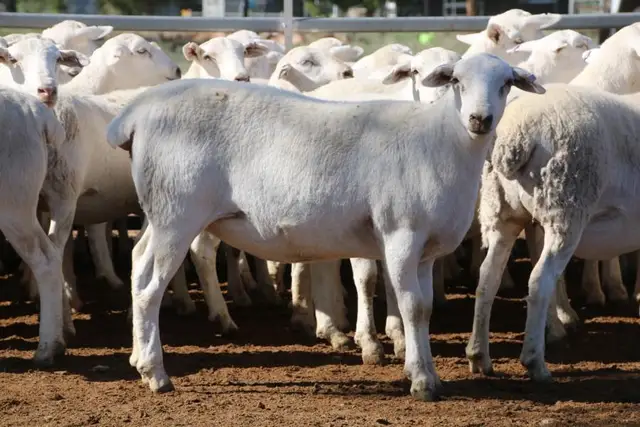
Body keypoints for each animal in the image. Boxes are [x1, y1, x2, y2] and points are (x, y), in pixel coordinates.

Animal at [106, 53, 545, 398]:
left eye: (506, 84)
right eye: (456, 81)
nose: (480, 119)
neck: (441, 142)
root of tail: (135, 114)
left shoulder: (425, 250)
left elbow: (423, 308)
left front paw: (419, 369)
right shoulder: (402, 233)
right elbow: (412, 306)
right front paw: (423, 381)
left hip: (162, 213)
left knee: (137, 261)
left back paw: (138, 358)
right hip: (177, 213)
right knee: (149, 288)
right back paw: (156, 373)